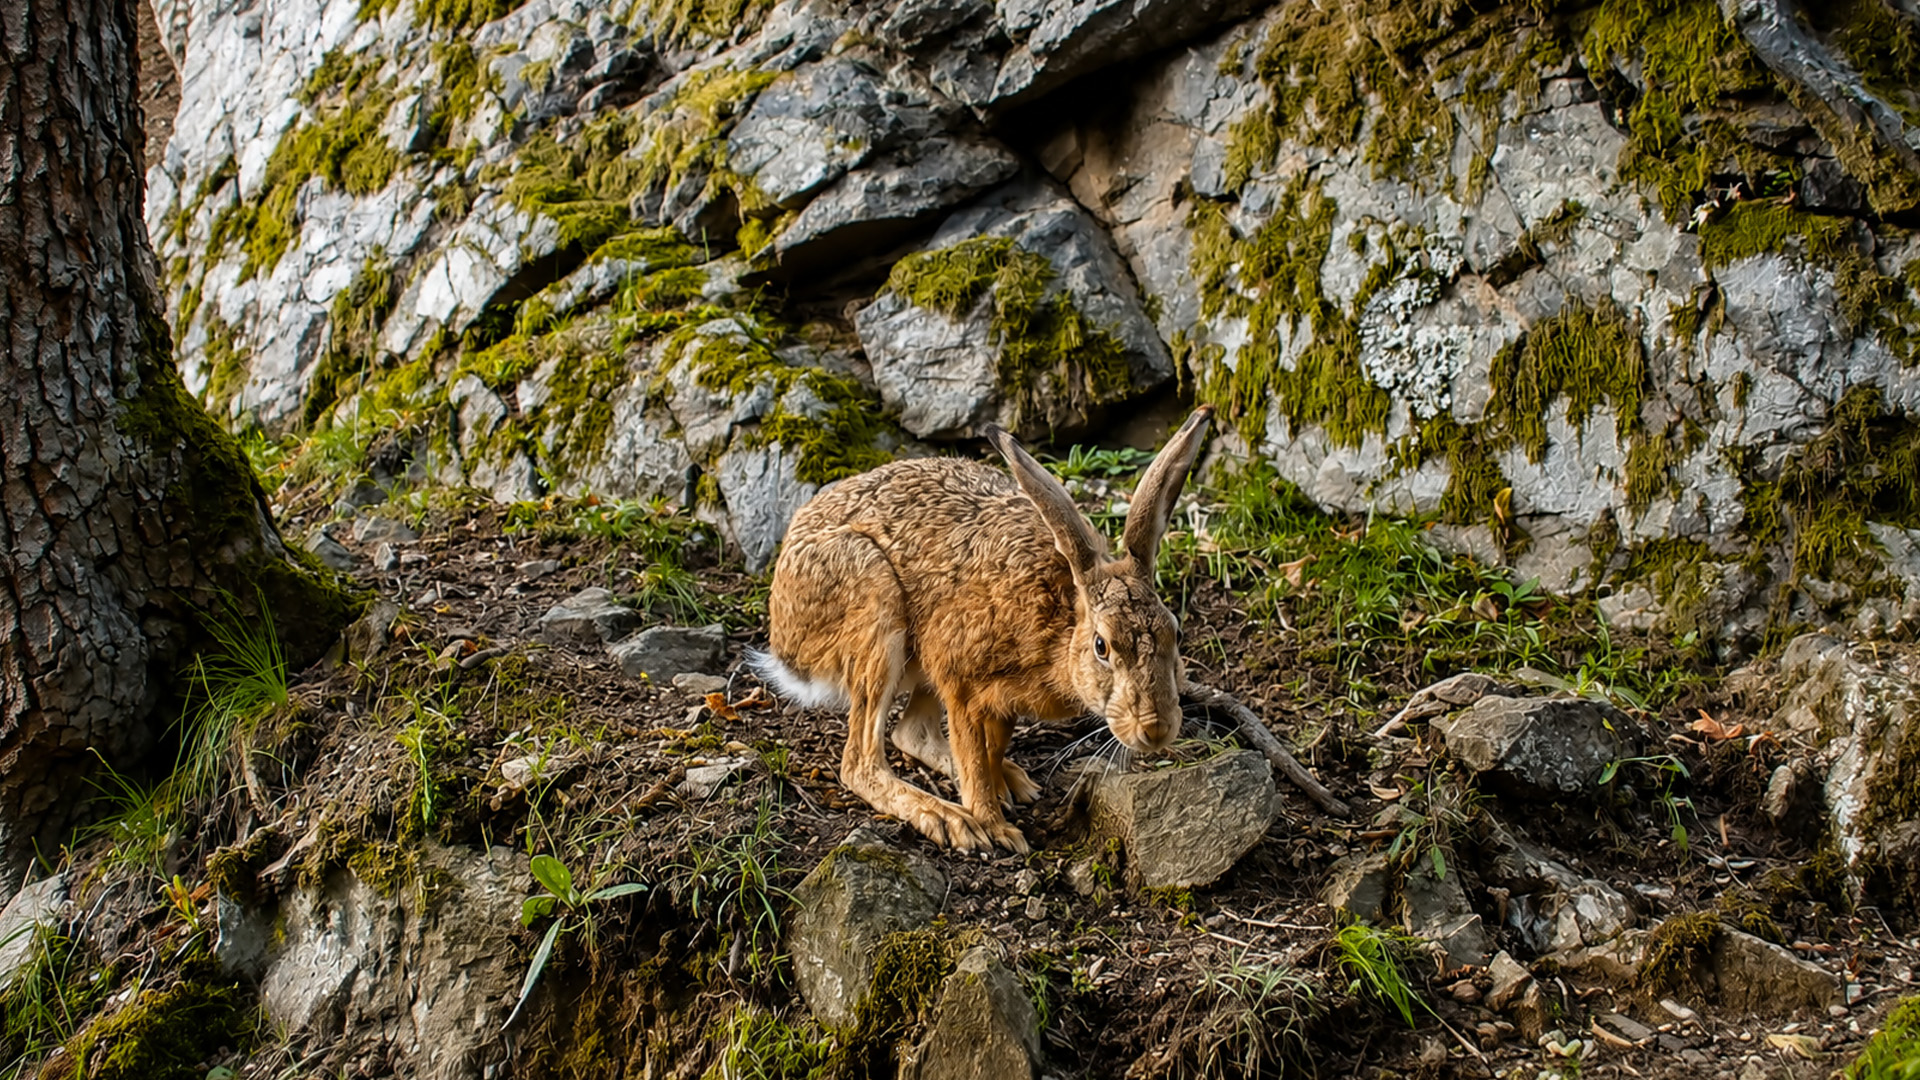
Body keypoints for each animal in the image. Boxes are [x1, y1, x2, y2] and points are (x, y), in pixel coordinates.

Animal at [751, 405, 1214, 853]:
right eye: (1103, 646)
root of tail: (783, 635)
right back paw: (946, 817)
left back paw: (1007, 781)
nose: (1155, 729)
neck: (1063, 624)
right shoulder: (959, 680)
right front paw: (995, 828)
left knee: (911, 733)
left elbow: (988, 749)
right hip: (876, 613)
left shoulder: (1000, 704)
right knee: (860, 762)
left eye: (1176, 634)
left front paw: (997, 787)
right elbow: (973, 759)